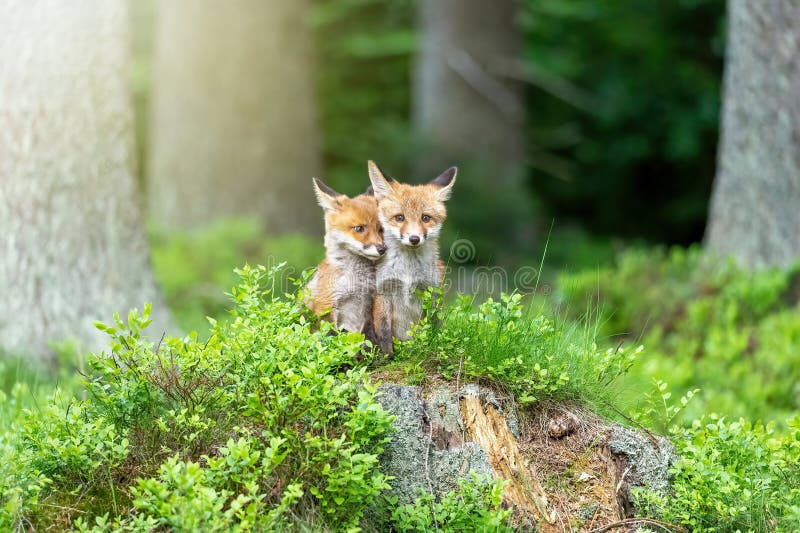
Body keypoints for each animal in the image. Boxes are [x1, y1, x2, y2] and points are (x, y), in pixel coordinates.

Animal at [306, 178, 387, 340]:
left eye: (381, 229)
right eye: (359, 228)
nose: (382, 249)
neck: (355, 282)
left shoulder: (366, 305)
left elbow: (365, 336)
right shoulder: (326, 306)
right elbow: (331, 336)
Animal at [367, 160, 457, 356]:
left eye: (425, 218)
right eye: (399, 217)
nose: (414, 238)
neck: (407, 272)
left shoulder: (431, 291)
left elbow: (432, 326)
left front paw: (432, 347)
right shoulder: (383, 290)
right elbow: (384, 331)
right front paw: (387, 357)